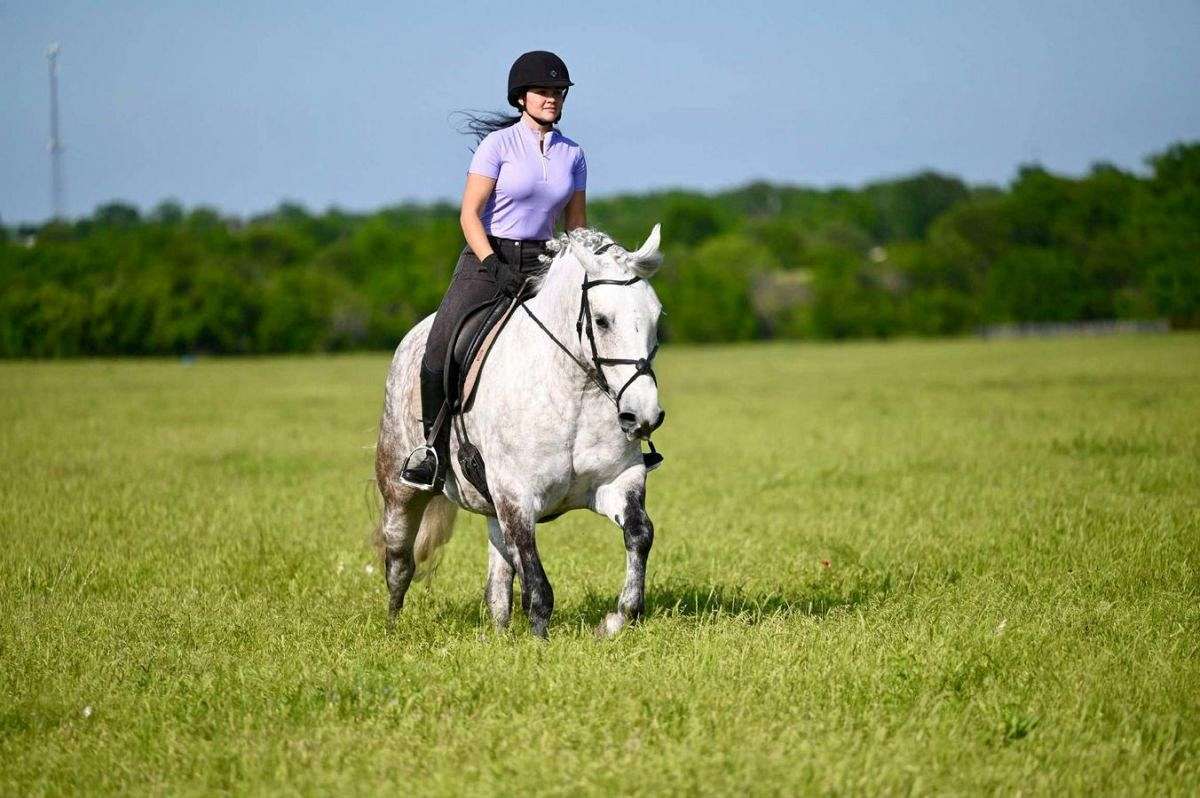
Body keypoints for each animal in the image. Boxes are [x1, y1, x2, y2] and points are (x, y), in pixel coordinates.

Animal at [374, 224, 666, 638]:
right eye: (603, 320)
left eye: (656, 317)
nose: (644, 416)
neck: (573, 391)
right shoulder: (517, 497)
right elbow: (537, 583)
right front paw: (540, 640)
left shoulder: (615, 482)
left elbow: (639, 534)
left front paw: (617, 618)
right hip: (400, 491)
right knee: (400, 562)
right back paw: (393, 628)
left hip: (491, 504)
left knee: (498, 582)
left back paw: (498, 634)